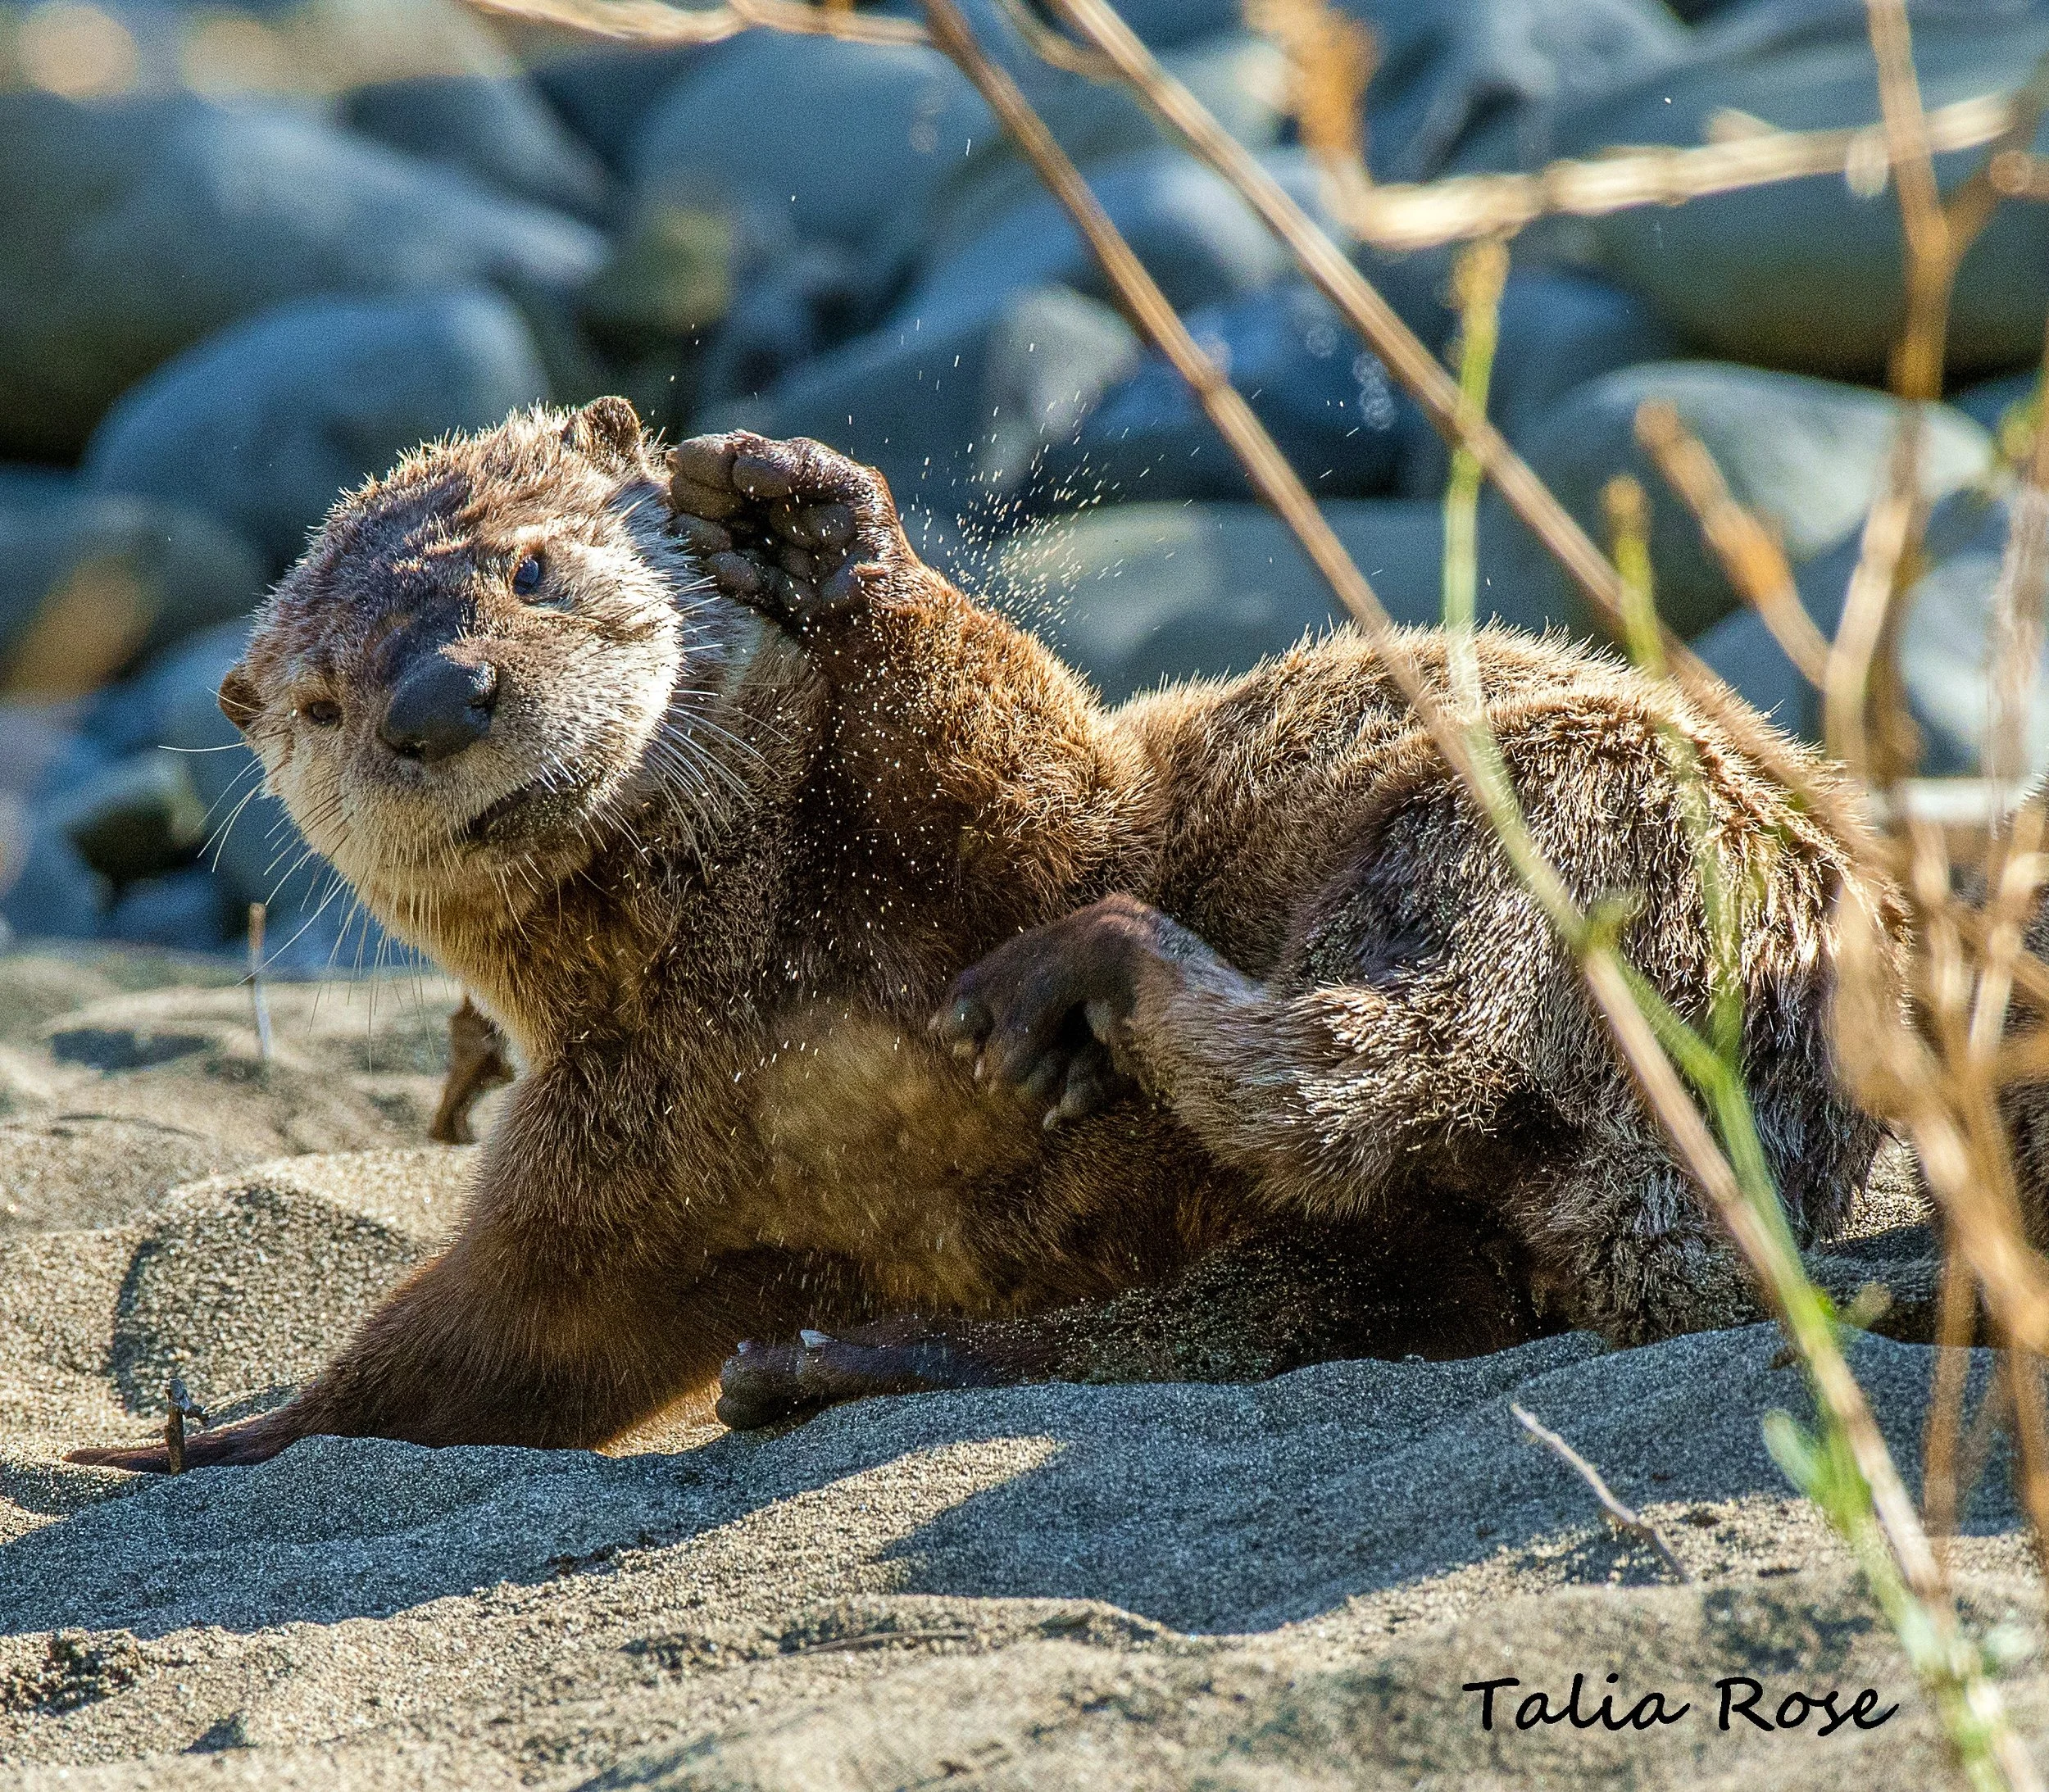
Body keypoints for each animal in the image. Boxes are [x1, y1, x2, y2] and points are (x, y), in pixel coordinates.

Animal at [69, 398, 1901, 1470]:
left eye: (526, 567)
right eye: (325, 699)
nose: (439, 698)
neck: (771, 984)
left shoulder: (1046, 810)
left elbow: (992, 716)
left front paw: (806, 520)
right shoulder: (607, 1157)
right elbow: (502, 1351)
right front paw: (208, 1437)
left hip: (1556, 802)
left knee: (1372, 1068)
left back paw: (1091, 977)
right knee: (1287, 1266)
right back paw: (830, 1364)